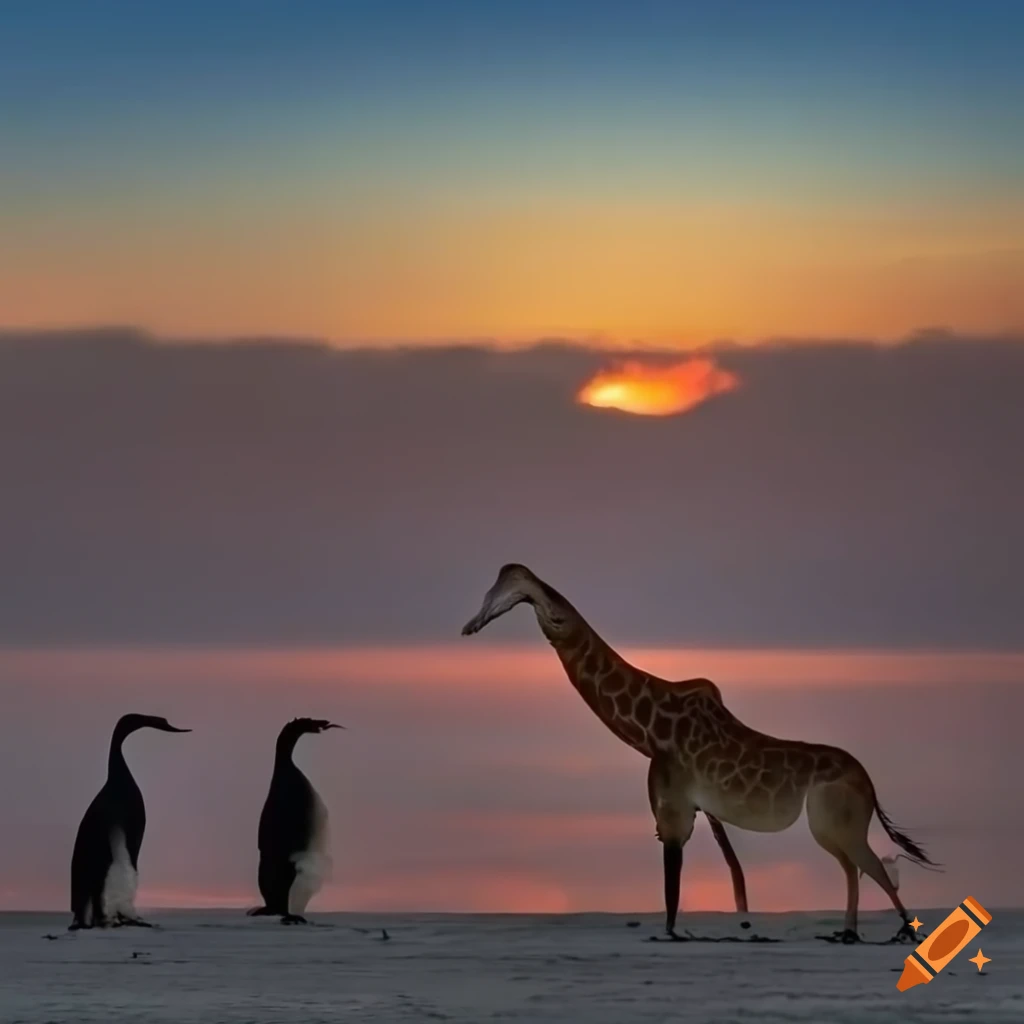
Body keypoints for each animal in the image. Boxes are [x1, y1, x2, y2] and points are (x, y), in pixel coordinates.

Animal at [462, 563, 937, 943]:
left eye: (555, 617)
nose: (471, 625)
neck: (650, 730)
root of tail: (870, 785)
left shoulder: (672, 811)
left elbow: (674, 893)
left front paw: (675, 934)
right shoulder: (697, 810)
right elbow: (731, 874)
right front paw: (743, 926)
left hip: (837, 821)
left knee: (870, 866)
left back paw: (900, 932)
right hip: (830, 825)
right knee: (854, 868)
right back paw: (849, 932)